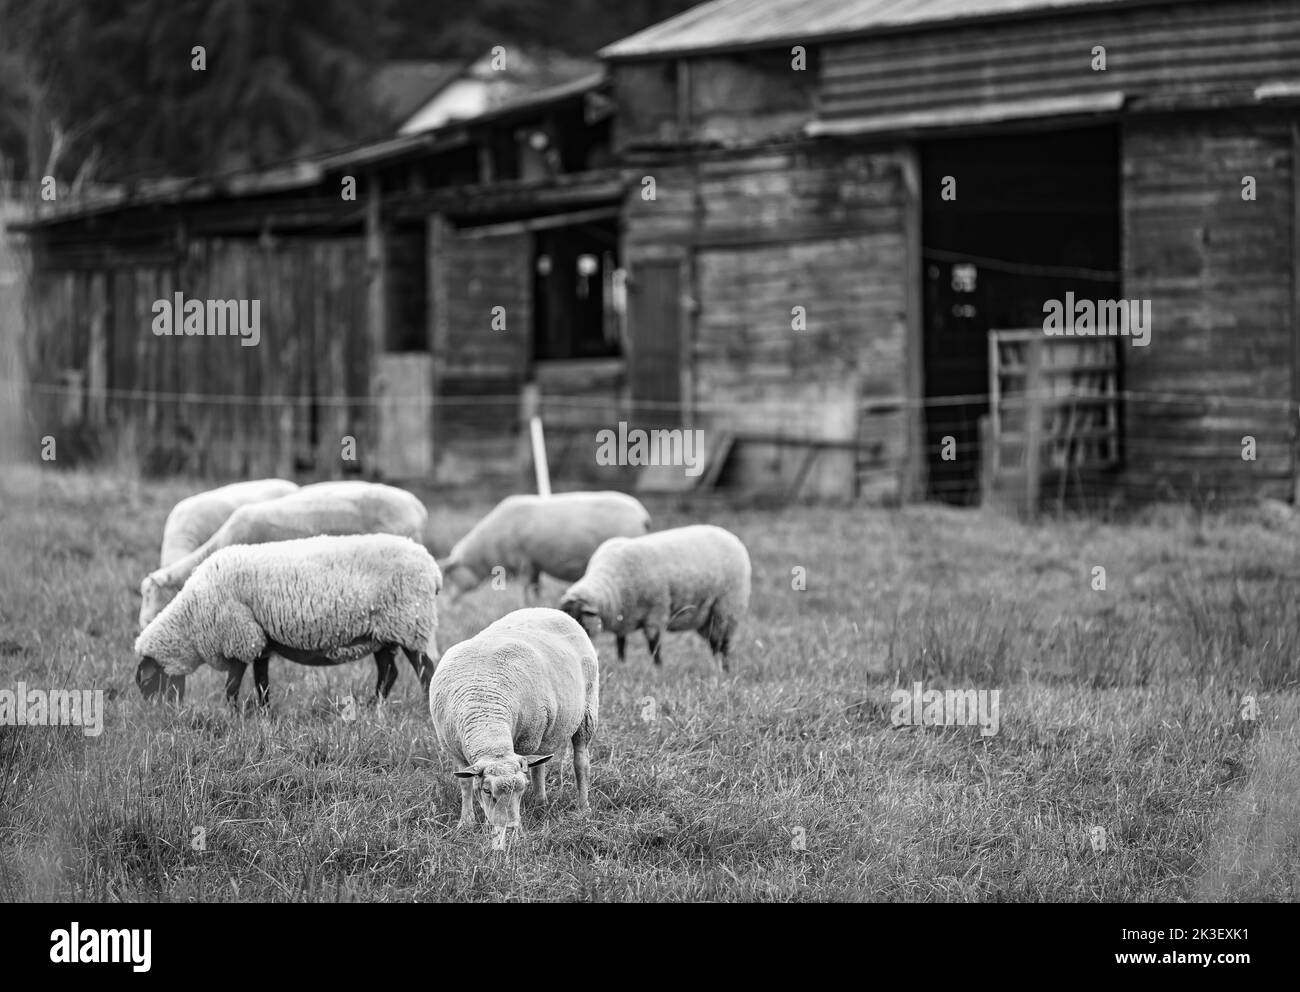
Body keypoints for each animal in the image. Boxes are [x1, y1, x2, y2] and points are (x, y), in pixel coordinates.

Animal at [134, 533, 441, 706]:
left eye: (148, 685)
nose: (165, 716)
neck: (191, 619)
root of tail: (432, 566)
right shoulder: (259, 639)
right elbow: (261, 682)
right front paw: (264, 713)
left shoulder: (239, 637)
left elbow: (232, 687)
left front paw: (232, 715)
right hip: (383, 632)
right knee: (389, 672)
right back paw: (372, 707)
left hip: (409, 623)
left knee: (425, 671)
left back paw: (424, 709)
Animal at [428, 607, 598, 837]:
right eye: (487, 790)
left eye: (521, 789)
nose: (509, 829)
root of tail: (551, 610)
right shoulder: (454, 751)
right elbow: (465, 784)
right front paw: (466, 822)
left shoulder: (526, 740)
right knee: (540, 765)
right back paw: (541, 802)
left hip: (585, 712)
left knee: (580, 761)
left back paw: (583, 808)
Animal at [439, 491, 649, 604]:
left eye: (449, 577)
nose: (449, 603)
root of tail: (643, 516)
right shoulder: (535, 563)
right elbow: (536, 586)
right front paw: (537, 603)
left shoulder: (523, 560)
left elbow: (525, 586)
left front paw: (523, 604)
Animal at [559, 524, 751, 672]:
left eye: (579, 621)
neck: (612, 583)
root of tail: (731, 536)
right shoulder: (624, 616)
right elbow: (621, 644)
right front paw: (622, 664)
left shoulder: (657, 611)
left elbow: (654, 644)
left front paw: (658, 668)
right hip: (706, 617)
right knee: (714, 642)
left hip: (727, 608)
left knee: (722, 643)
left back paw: (724, 669)